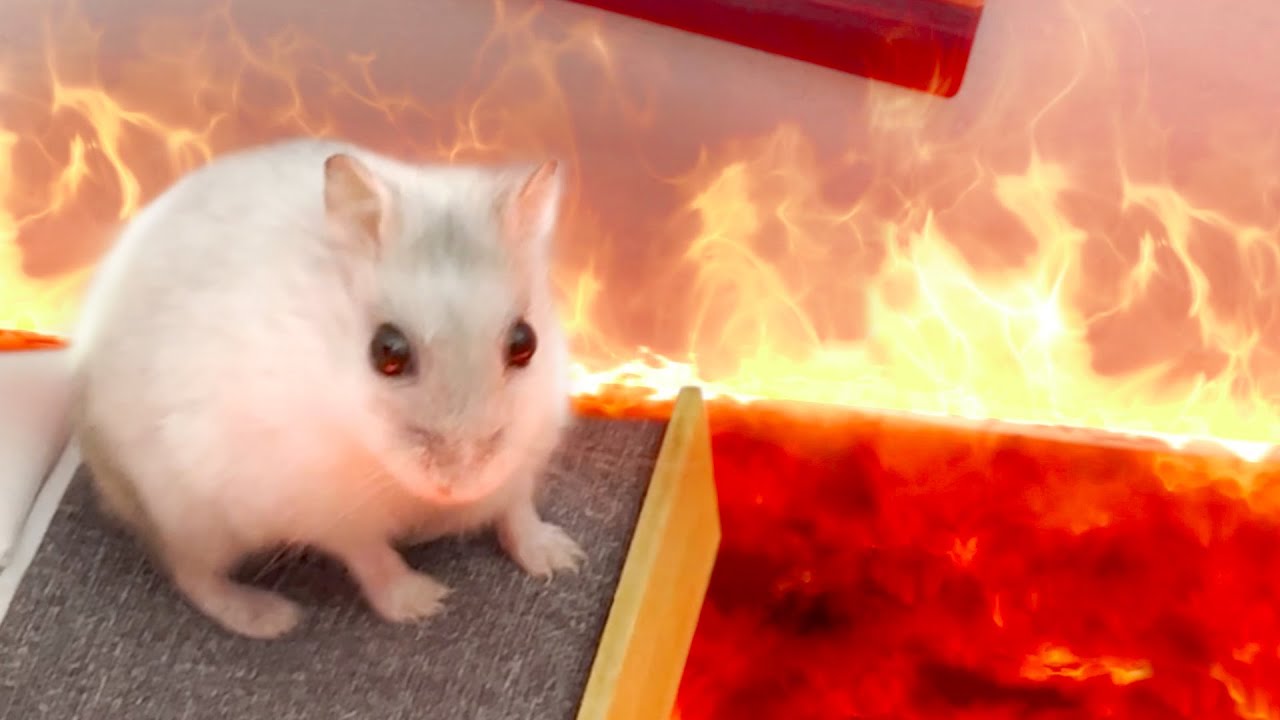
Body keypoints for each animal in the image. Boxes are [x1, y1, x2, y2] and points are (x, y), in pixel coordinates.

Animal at [68, 138, 584, 639]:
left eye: (525, 342)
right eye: (387, 351)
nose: (460, 483)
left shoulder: (522, 462)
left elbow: (517, 511)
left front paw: (563, 560)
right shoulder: (329, 510)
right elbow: (371, 557)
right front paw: (427, 604)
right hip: (195, 518)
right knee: (191, 577)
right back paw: (273, 618)